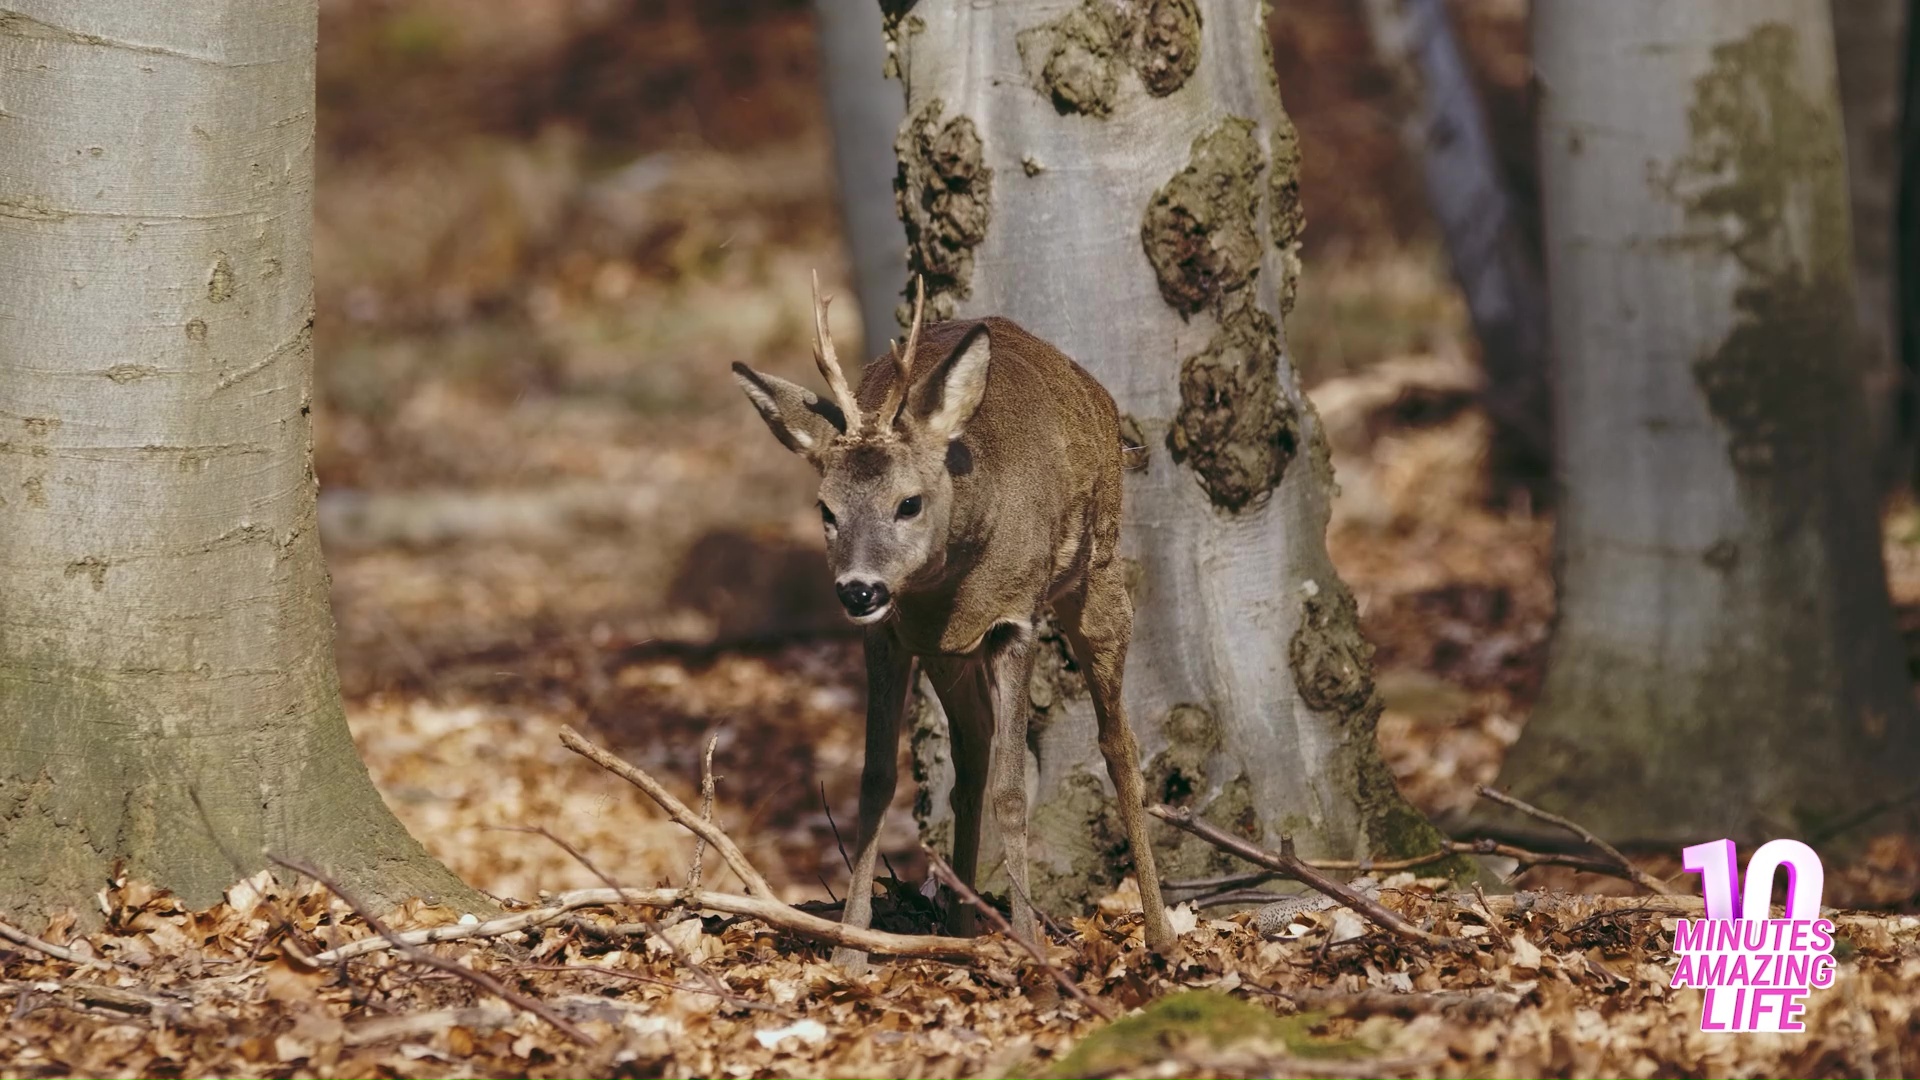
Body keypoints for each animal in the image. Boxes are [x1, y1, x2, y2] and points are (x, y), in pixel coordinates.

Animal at [731, 273, 1177, 970]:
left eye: (908, 503)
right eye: (826, 510)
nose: (858, 589)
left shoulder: (1015, 619)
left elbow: (1014, 791)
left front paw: (1034, 951)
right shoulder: (894, 635)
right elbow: (876, 780)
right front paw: (851, 949)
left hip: (1098, 575)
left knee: (1118, 743)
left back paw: (1159, 935)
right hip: (947, 655)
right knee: (970, 749)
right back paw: (964, 930)